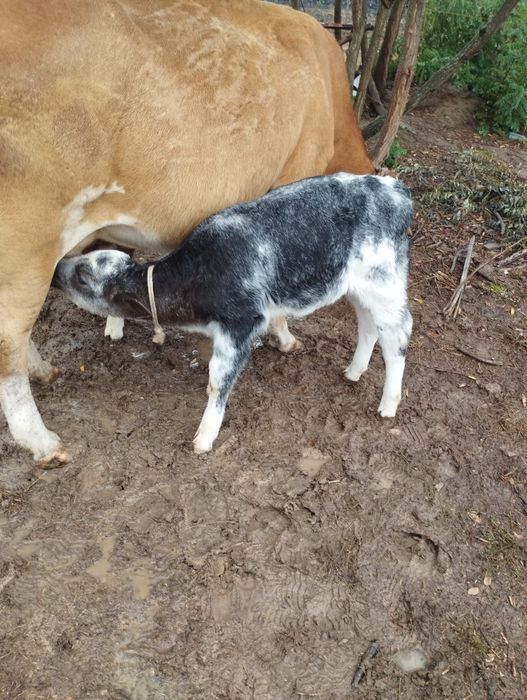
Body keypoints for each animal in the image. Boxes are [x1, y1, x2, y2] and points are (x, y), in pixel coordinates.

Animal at [0, 0, 374, 466]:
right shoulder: (292, 178)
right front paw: (284, 336)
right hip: (28, 242)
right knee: (8, 341)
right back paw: (43, 441)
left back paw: (44, 371)